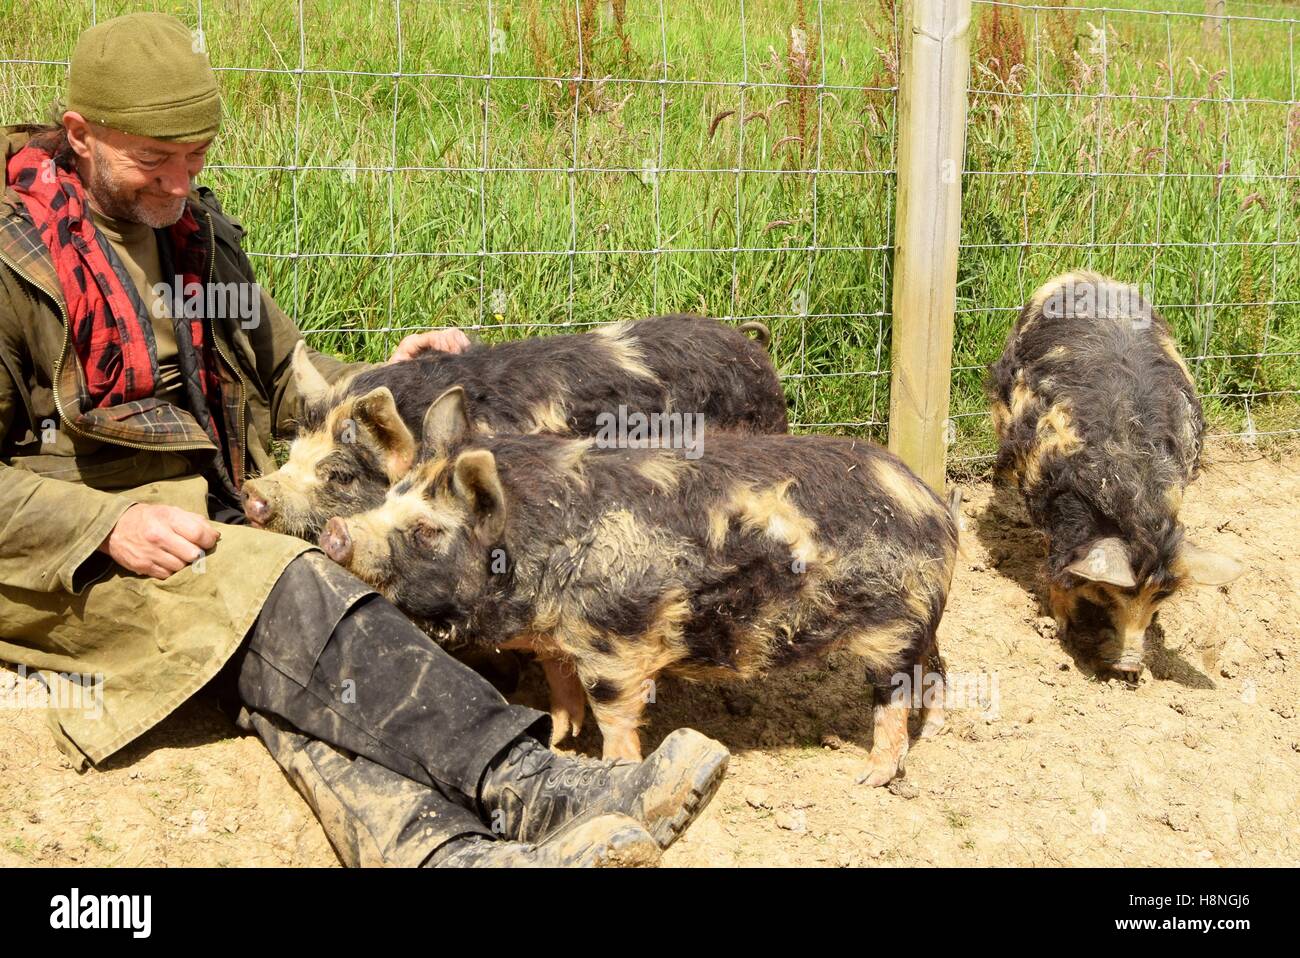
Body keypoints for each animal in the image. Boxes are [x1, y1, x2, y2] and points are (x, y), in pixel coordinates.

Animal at [317, 386, 960, 786]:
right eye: (391, 496)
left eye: (428, 529)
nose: (335, 531)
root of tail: (934, 506)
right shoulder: (560, 637)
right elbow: (561, 682)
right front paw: (559, 739)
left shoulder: (617, 639)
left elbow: (615, 711)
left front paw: (617, 769)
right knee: (934, 670)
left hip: (893, 622)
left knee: (893, 695)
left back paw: (870, 776)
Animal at [988, 271, 1245, 679]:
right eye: (1112, 595)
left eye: (1158, 600)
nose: (1129, 666)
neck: (1136, 500)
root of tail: (1085, 275)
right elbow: (1058, 568)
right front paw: (1058, 628)